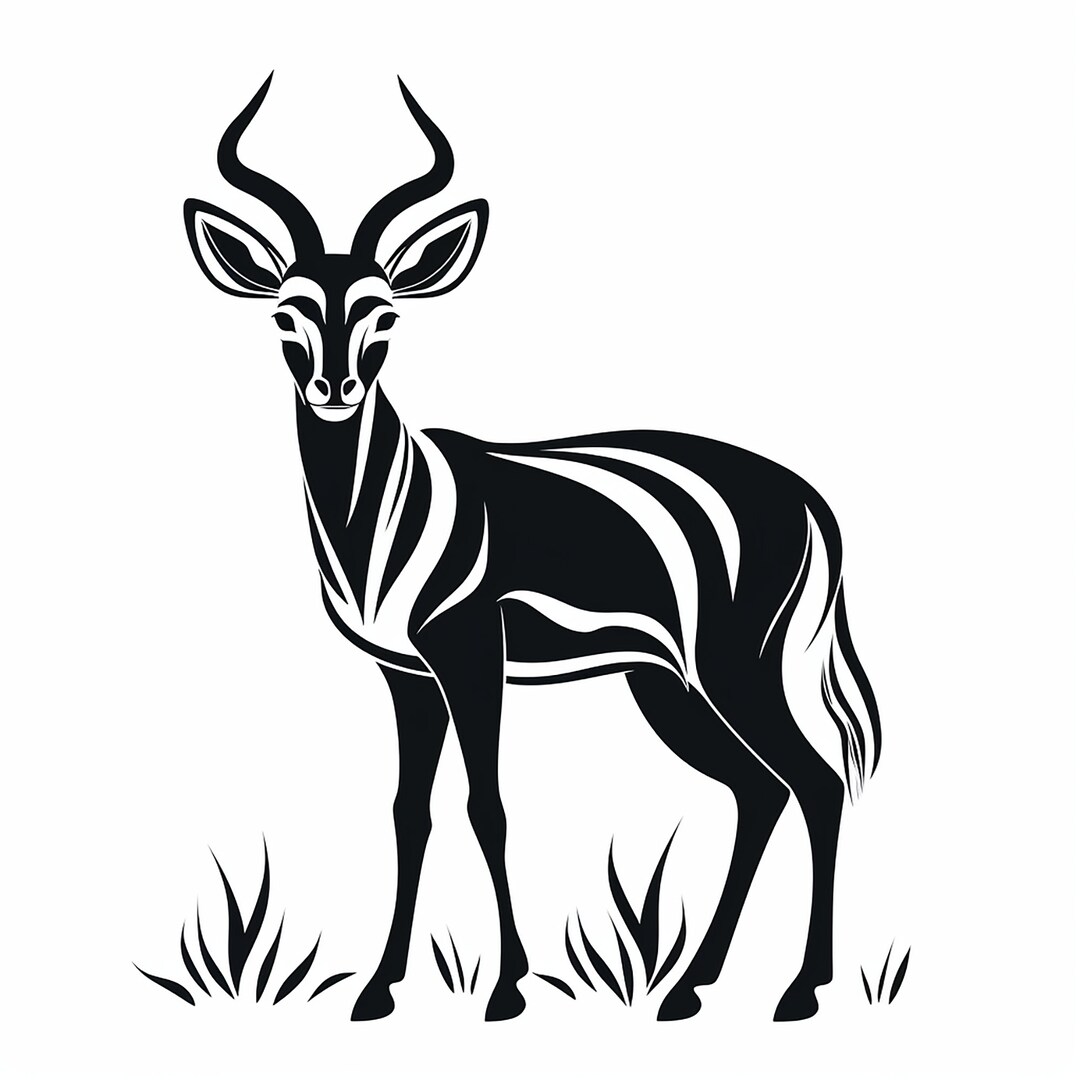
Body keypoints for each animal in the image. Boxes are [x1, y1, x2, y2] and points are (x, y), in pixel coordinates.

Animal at [184, 75, 881, 1023]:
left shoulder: (471, 651)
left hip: (735, 669)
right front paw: (379, 986)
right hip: (666, 687)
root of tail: (807, 500)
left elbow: (488, 803)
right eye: (289, 312)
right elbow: (408, 811)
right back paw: (689, 987)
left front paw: (508, 986)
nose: (335, 386)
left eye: (382, 312)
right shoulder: (406, 676)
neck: (387, 512)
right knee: (759, 789)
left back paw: (799, 990)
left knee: (815, 782)